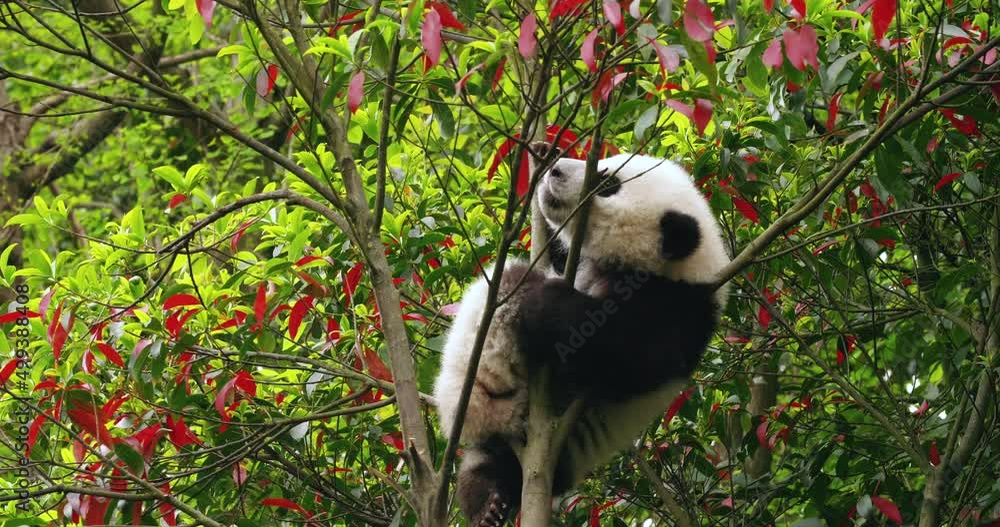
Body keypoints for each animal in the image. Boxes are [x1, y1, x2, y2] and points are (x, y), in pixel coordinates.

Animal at [434, 152, 730, 527]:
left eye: (607, 184)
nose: (556, 169)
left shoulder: (681, 312)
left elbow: (621, 355)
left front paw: (545, 302)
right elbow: (557, 258)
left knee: (511, 283)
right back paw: (486, 503)